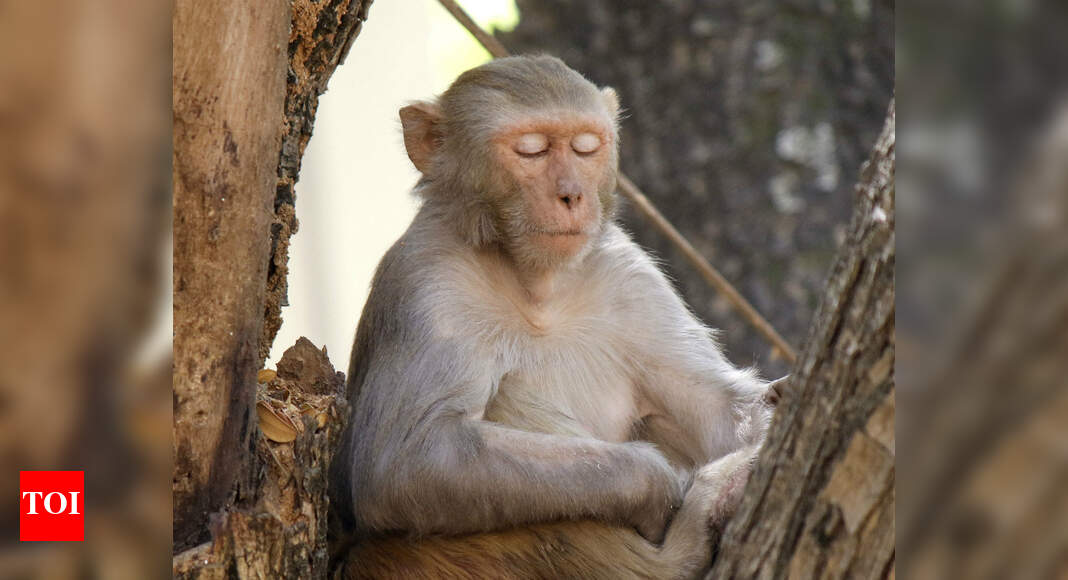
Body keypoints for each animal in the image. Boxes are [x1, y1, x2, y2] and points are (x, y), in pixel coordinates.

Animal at [330, 55, 779, 579]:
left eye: (586, 148)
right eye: (532, 150)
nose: (571, 195)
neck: (536, 289)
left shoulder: (630, 278)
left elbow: (718, 411)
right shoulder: (427, 279)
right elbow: (408, 459)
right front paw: (659, 487)